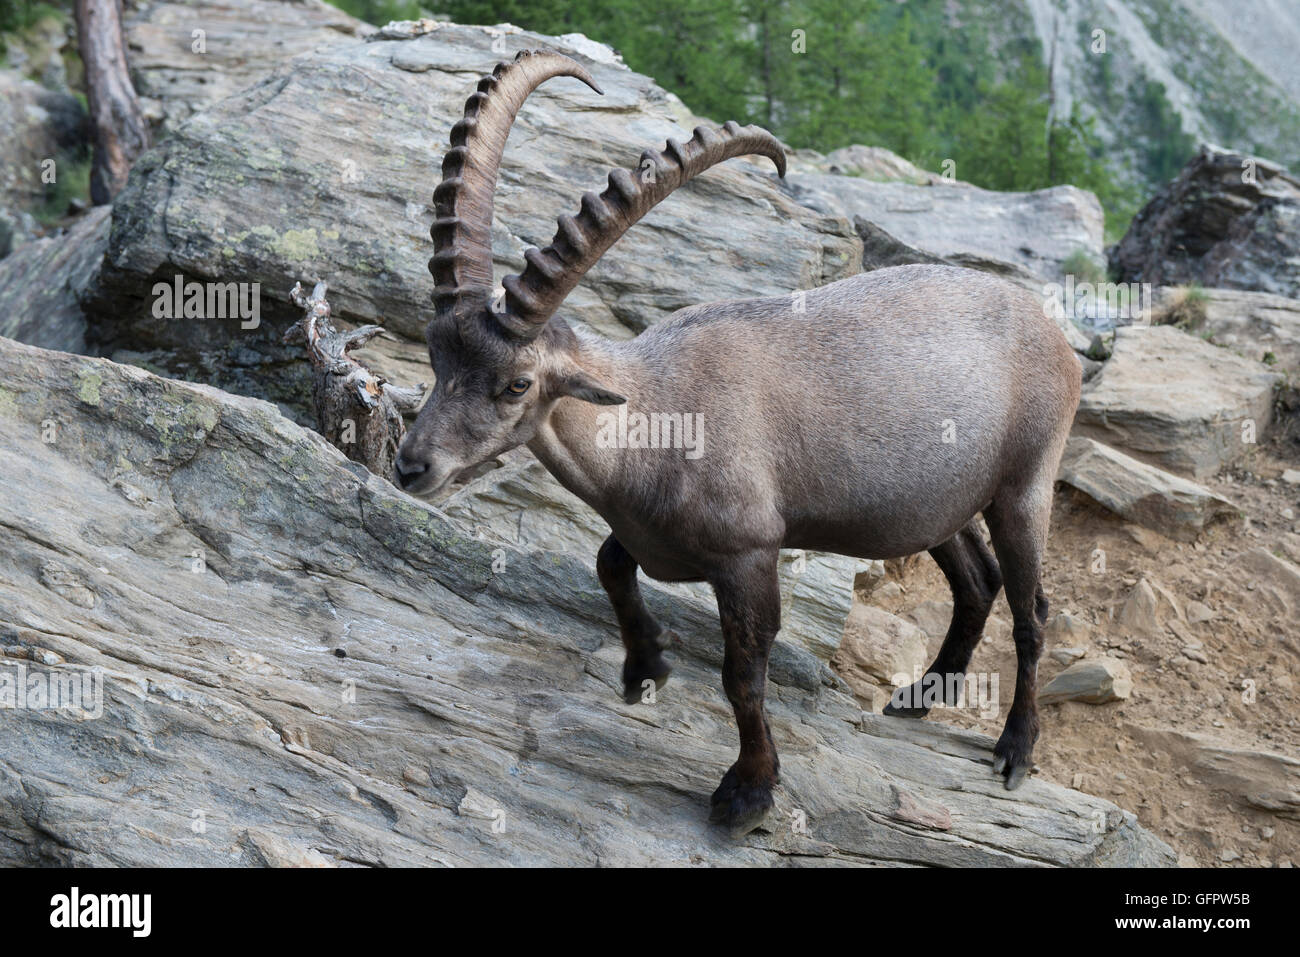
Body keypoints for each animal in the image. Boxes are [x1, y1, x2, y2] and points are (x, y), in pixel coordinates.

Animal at [396, 51, 1082, 835]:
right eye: (436, 352)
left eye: (516, 384)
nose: (411, 465)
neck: (657, 411)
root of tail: (1054, 334)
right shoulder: (646, 531)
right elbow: (609, 564)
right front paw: (646, 666)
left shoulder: (749, 553)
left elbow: (743, 674)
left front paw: (749, 793)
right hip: (937, 500)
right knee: (977, 579)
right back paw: (920, 698)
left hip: (1024, 484)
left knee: (1031, 611)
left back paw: (1015, 749)